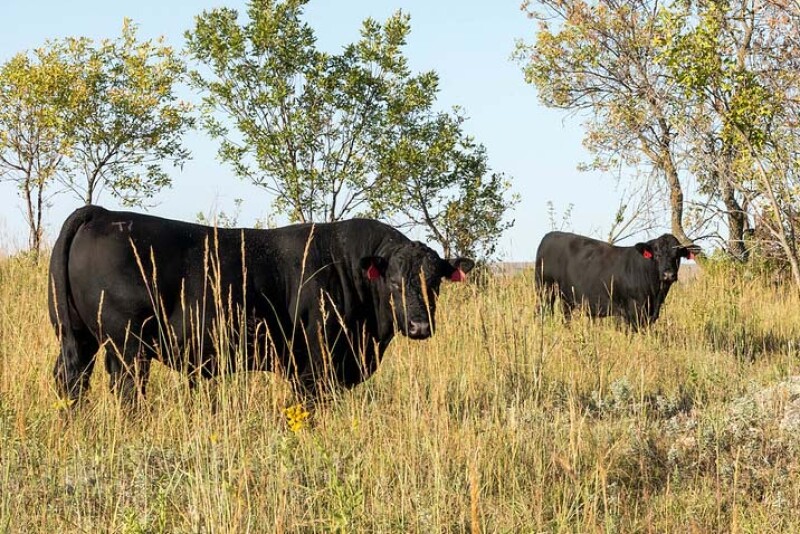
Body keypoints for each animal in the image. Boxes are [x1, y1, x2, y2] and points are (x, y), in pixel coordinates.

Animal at [48, 205, 474, 405]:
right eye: (395, 282)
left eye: (434, 282)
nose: (420, 326)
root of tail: (103, 214)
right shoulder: (316, 361)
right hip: (127, 344)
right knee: (125, 390)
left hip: (78, 339)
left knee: (71, 381)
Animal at [534, 231, 694, 328]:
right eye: (657, 254)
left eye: (677, 255)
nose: (668, 274)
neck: (656, 294)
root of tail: (549, 235)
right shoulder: (633, 310)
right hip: (544, 289)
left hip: (566, 298)